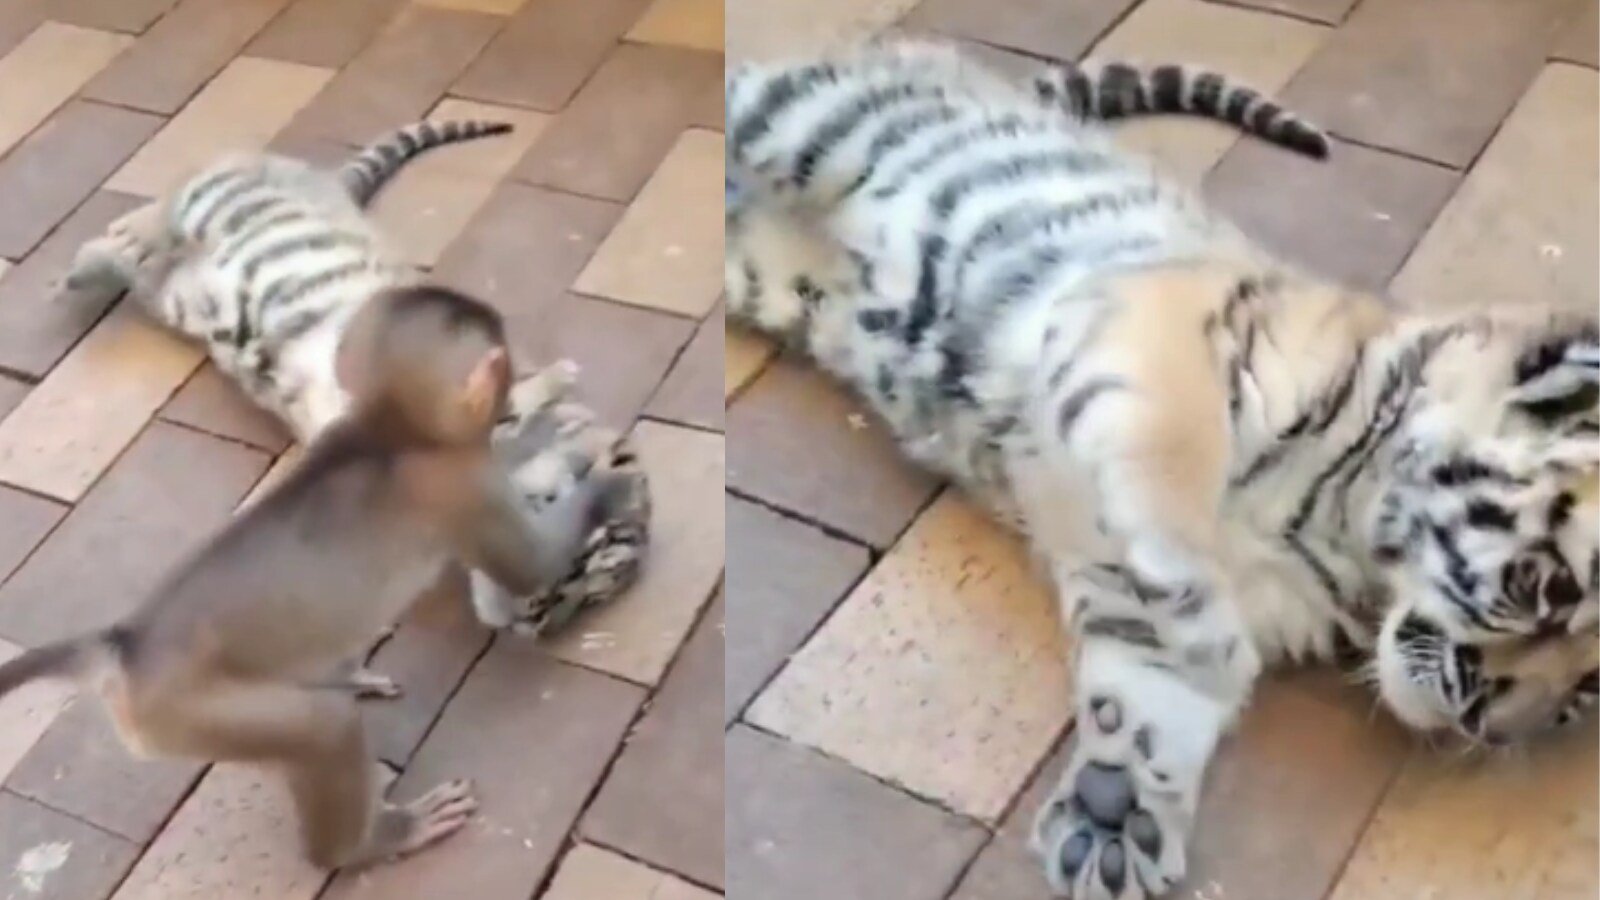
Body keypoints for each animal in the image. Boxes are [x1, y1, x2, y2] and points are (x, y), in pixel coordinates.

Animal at [0, 283, 630, 871]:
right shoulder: (462, 486)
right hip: (194, 714)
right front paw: (602, 482)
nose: (513, 387)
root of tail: (126, 648)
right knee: (322, 728)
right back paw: (372, 842)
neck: (387, 425)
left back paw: (345, 676)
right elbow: (531, 568)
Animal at [56, 120, 650, 636]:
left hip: (187, 298)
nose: (535, 625)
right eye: (576, 561)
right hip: (212, 208)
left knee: (149, 267)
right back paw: (88, 263)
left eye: (583, 601)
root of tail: (323, 178)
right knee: (153, 217)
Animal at [725, 37, 1598, 899]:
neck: (1352, 534)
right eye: (1546, 587)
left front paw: (1118, 813)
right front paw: (1206, 630)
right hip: (805, 122)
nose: (1493, 725)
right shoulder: (1167, 325)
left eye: (1584, 695)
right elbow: (1172, 472)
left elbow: (1146, 687)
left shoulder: (1138, 574)